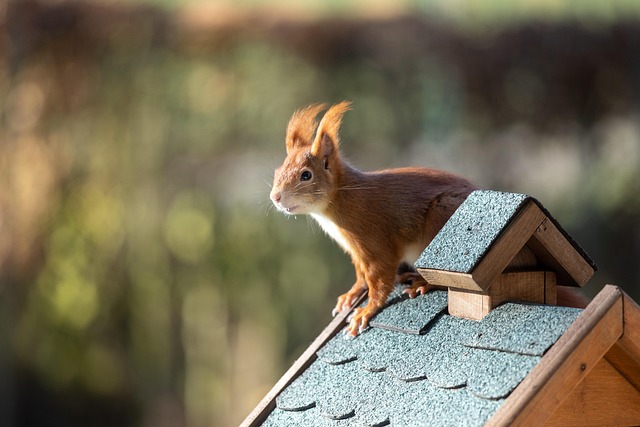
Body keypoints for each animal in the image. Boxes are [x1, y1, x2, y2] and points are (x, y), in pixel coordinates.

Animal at [270, 101, 477, 336]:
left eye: (306, 175)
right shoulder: (355, 251)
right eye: (277, 172)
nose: (275, 197)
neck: (340, 198)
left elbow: (379, 279)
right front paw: (351, 295)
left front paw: (367, 311)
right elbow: (361, 276)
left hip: (440, 218)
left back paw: (423, 282)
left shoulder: (373, 239)